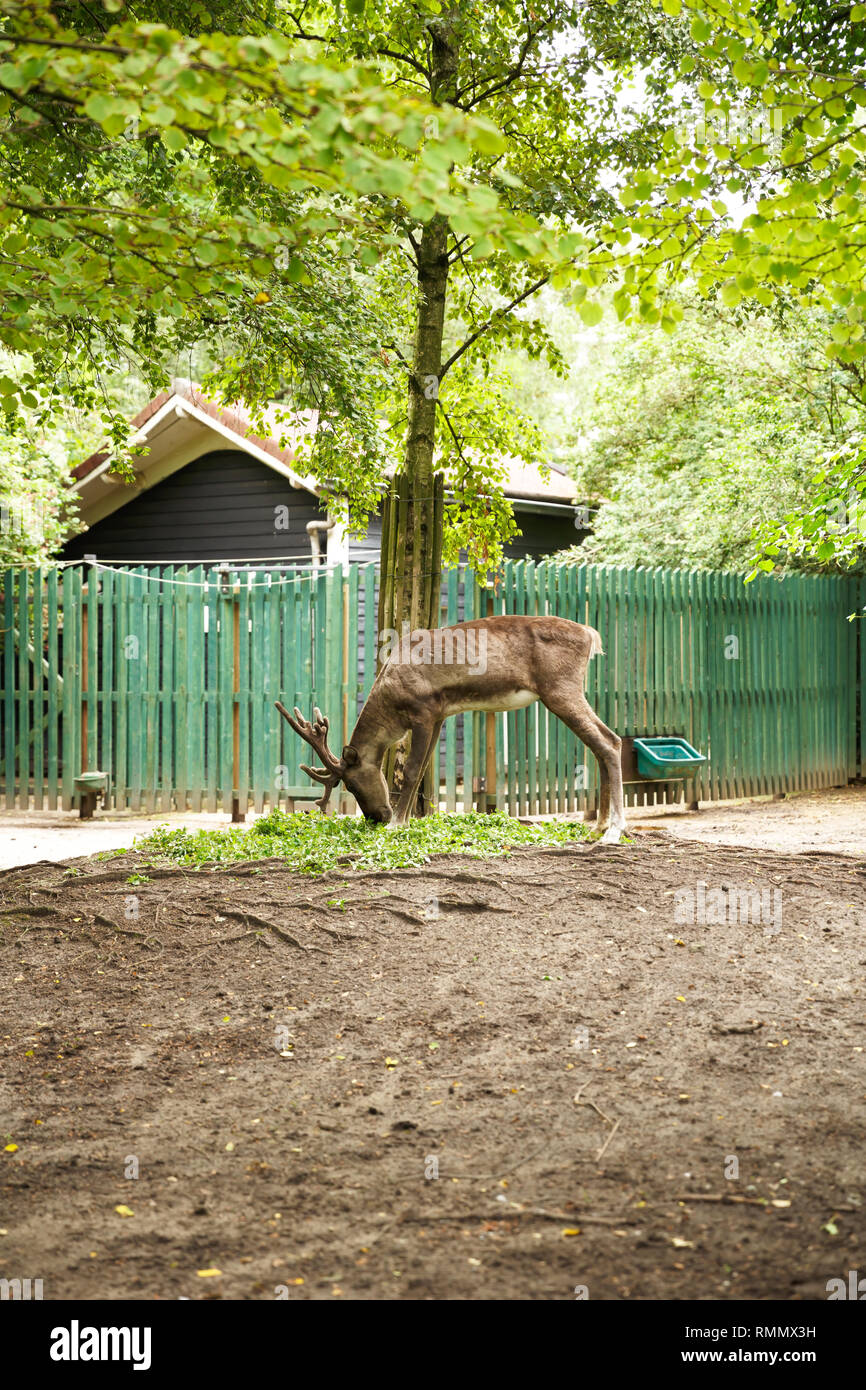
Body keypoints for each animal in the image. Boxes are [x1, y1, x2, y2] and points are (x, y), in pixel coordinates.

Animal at [275, 614, 626, 843]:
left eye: (350, 784)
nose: (378, 817)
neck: (390, 696)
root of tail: (590, 635)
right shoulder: (440, 716)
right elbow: (423, 770)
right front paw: (406, 821)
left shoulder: (423, 711)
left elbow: (412, 770)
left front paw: (397, 825)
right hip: (567, 691)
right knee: (604, 742)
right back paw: (598, 827)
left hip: (559, 690)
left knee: (608, 742)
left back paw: (614, 829)